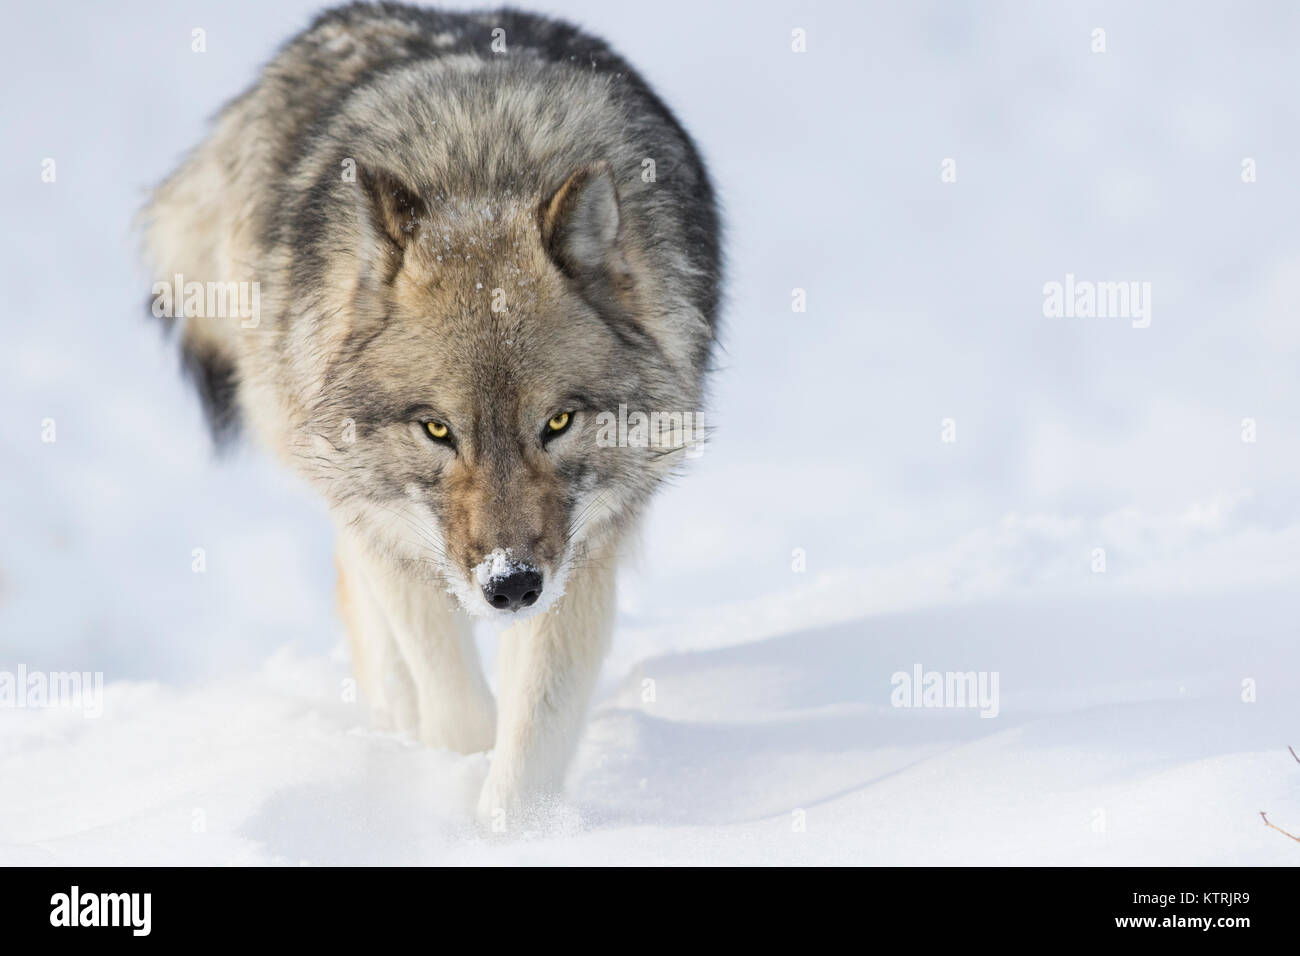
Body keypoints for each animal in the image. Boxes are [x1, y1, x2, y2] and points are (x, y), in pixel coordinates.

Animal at [140, 2, 720, 825]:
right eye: (439, 430)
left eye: (556, 424)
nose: (511, 586)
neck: (483, 173)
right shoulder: (394, 530)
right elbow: (458, 710)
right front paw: (449, 773)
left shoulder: (587, 550)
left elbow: (532, 734)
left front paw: (515, 830)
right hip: (338, 473)